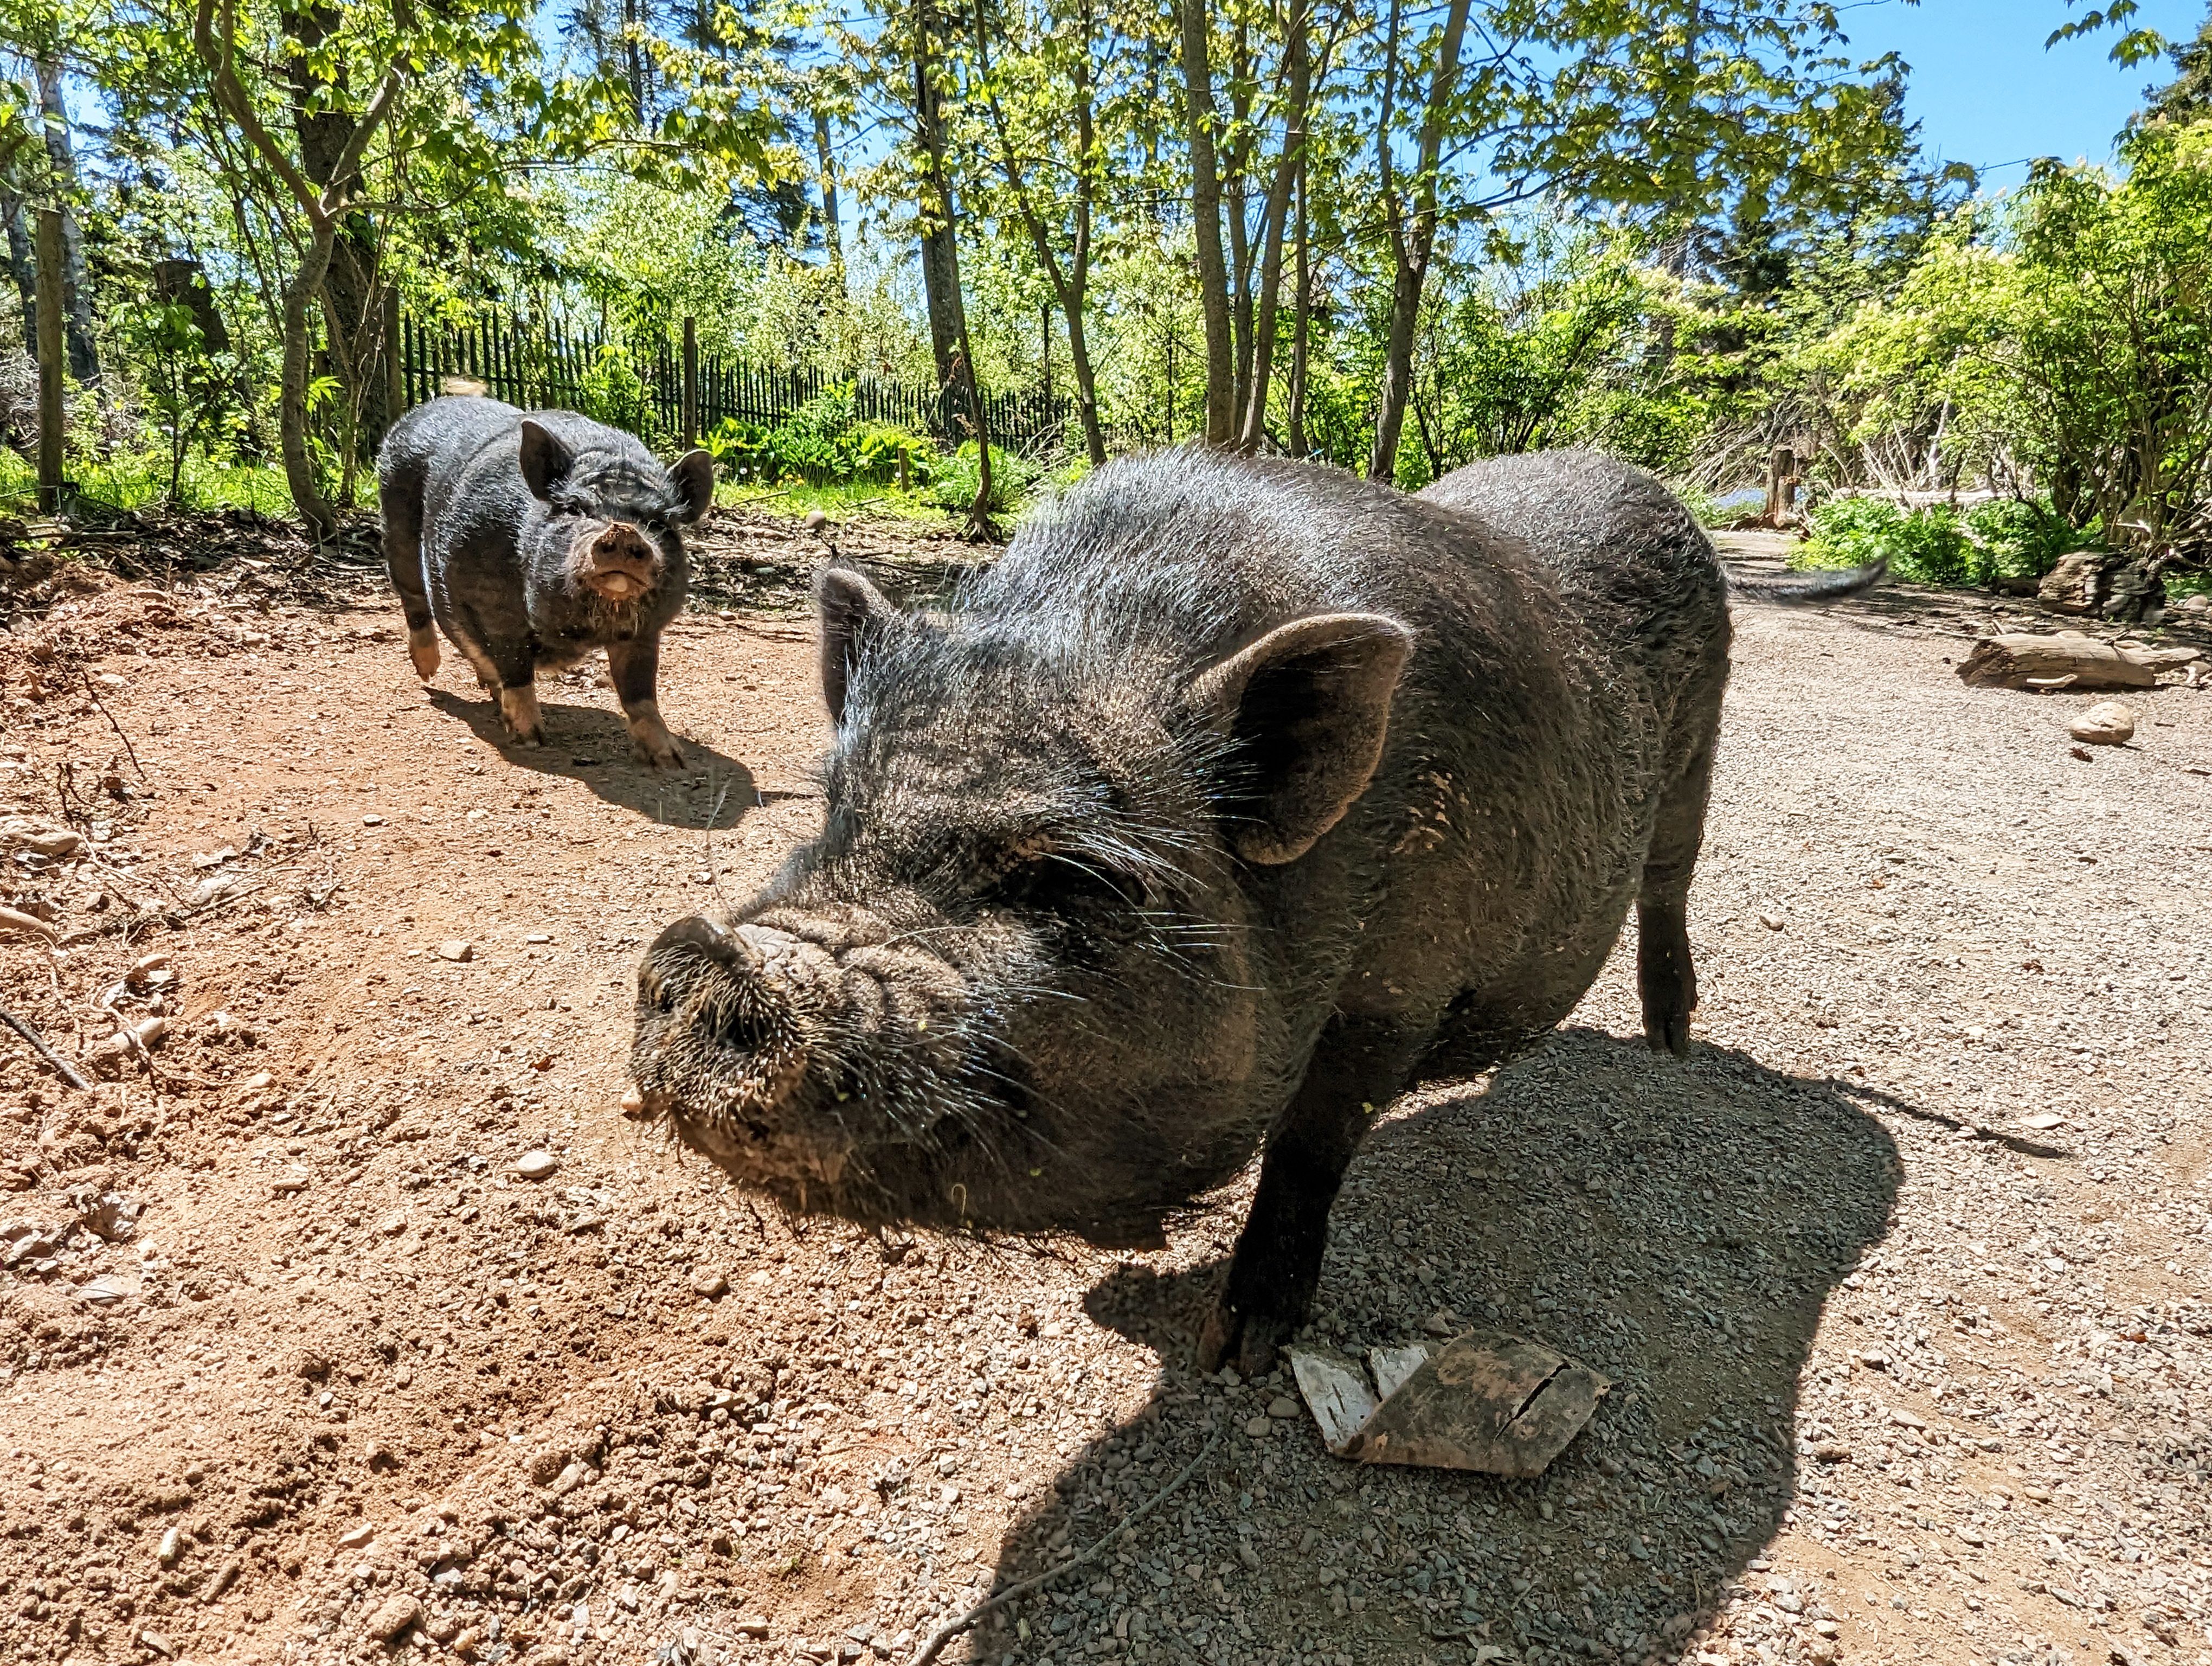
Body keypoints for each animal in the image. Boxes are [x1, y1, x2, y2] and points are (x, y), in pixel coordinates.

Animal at [377, 396, 714, 767]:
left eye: (660, 522)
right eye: (575, 508)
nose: (623, 531)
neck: (582, 628)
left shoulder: (644, 630)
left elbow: (639, 689)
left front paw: (672, 760)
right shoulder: (489, 603)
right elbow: (514, 662)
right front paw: (530, 739)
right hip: (397, 528)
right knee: (413, 597)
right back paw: (428, 672)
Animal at [628, 447, 1882, 1374]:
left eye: (1074, 880)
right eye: (837, 814)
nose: (712, 956)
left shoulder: (1400, 986)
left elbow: (1314, 1137)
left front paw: (1240, 1349)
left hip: (1700, 744)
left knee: (1673, 879)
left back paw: (1673, 1044)